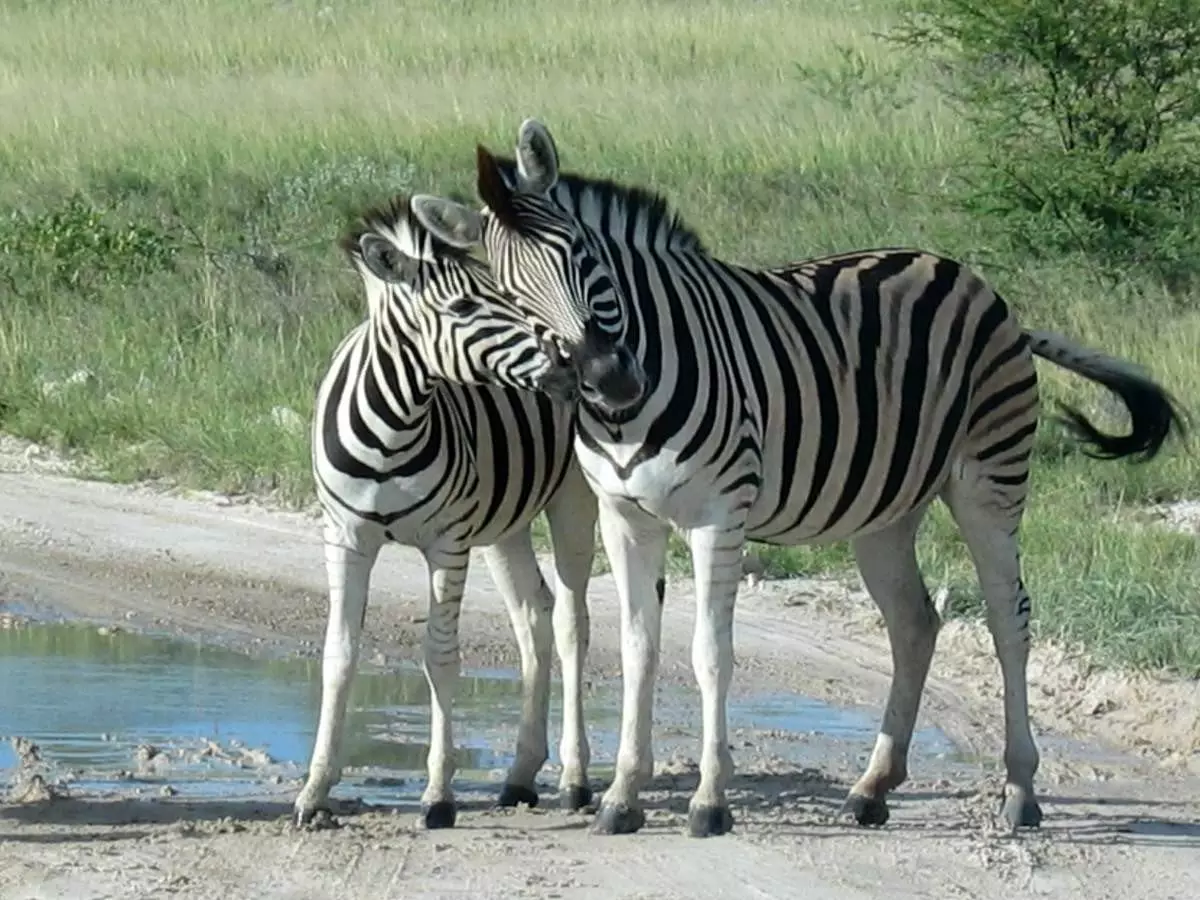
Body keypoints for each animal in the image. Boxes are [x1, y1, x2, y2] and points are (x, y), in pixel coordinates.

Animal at [294, 194, 600, 835]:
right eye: (461, 306)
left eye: (502, 298)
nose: (565, 374)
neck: (392, 427)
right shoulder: (345, 538)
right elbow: (339, 655)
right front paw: (315, 791)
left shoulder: (448, 542)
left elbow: (440, 658)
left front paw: (438, 794)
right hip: (506, 521)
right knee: (533, 617)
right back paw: (520, 774)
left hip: (571, 501)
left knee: (570, 624)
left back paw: (574, 779)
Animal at [405, 120, 1190, 840]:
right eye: (510, 297)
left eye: (584, 257)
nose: (609, 378)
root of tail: (969, 278)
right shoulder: (624, 515)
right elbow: (638, 649)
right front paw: (622, 799)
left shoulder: (720, 514)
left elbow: (709, 653)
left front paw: (709, 803)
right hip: (886, 509)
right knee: (915, 622)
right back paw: (873, 787)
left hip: (989, 481)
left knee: (1008, 619)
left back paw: (1020, 791)